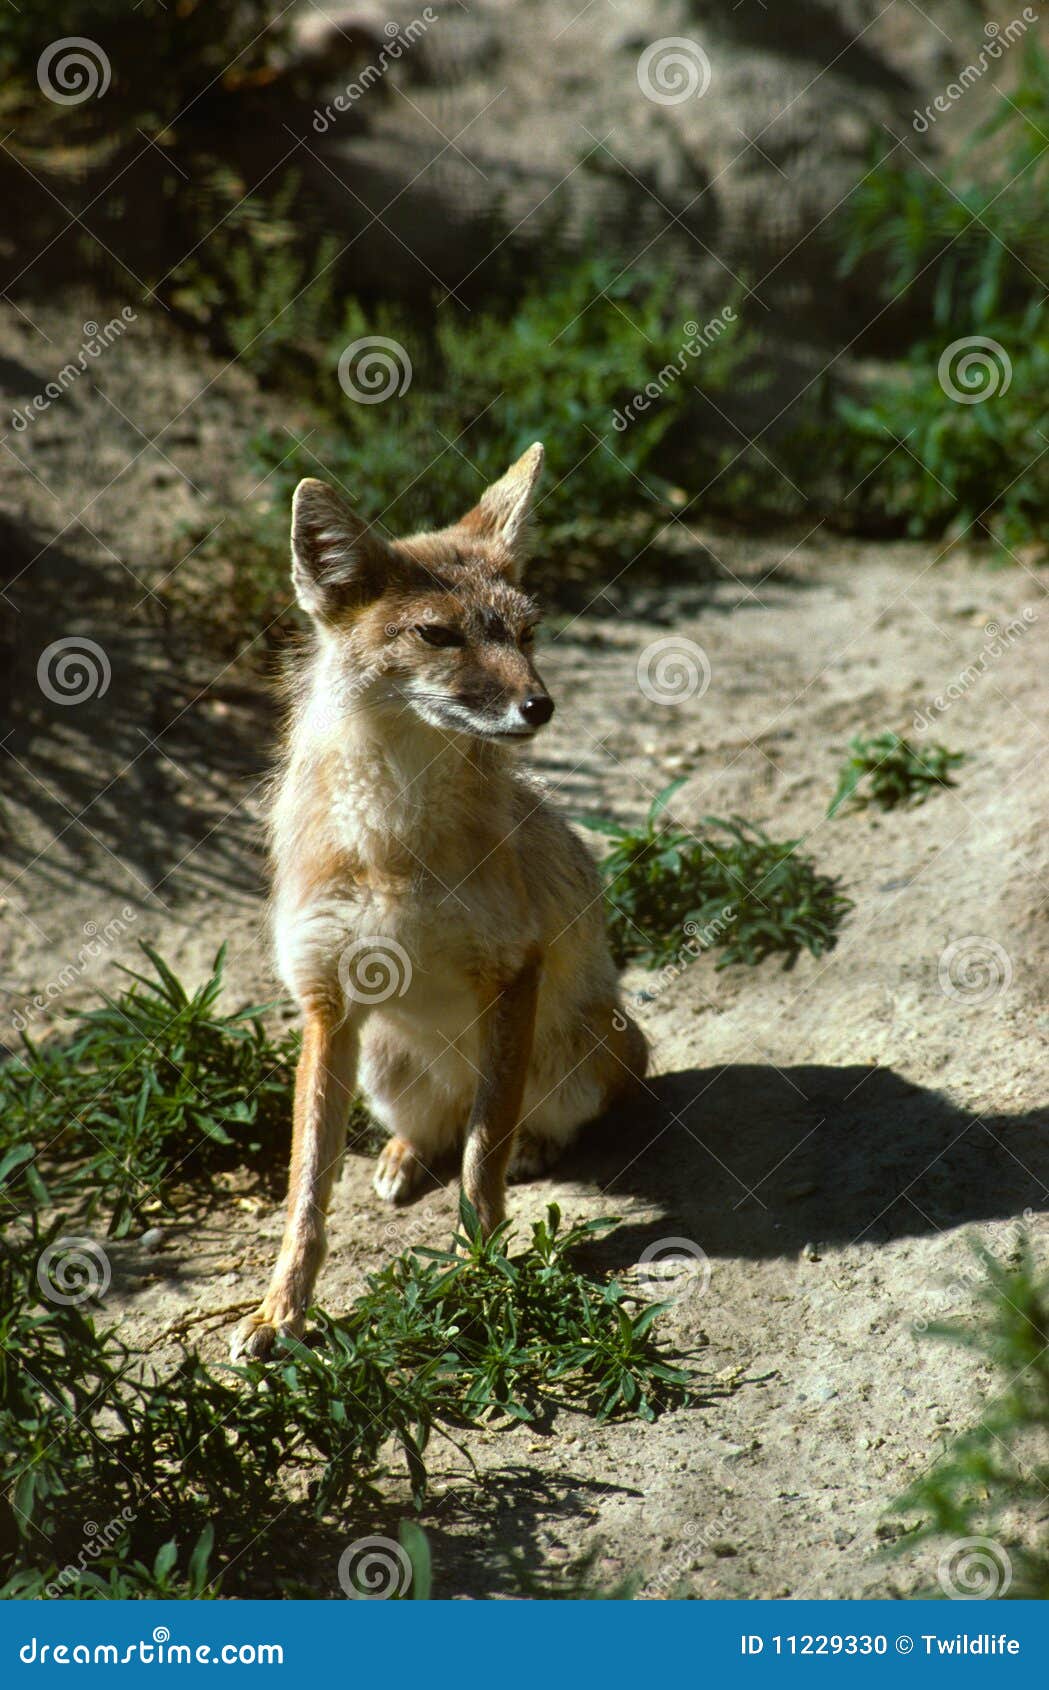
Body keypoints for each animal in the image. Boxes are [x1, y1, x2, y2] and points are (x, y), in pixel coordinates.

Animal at [233, 442, 648, 1359]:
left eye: (526, 635)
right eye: (437, 634)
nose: (539, 704)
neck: (391, 845)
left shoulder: (511, 968)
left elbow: (482, 1157)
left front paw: (479, 1272)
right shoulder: (325, 1003)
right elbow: (305, 1192)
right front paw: (280, 1311)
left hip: (572, 1050)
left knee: (507, 1122)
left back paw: (530, 1147)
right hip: (380, 1060)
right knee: (434, 1129)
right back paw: (399, 1155)